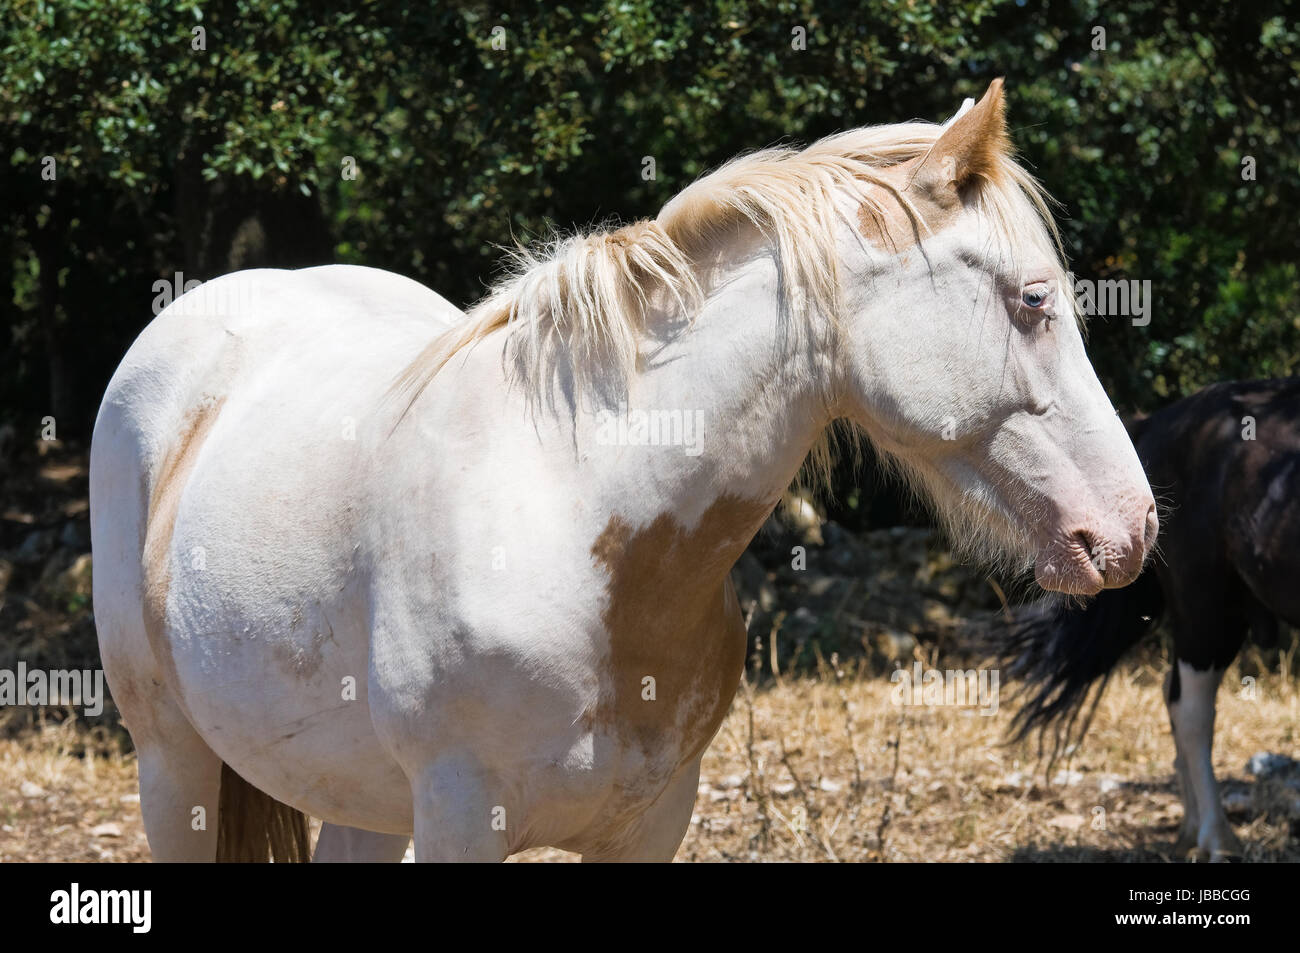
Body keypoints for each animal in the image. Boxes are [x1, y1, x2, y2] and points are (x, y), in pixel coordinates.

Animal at [90, 79, 1157, 862]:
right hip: (171, 764)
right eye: (1033, 300)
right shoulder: (458, 821)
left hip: (354, 795)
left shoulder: (648, 825)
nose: (1131, 528)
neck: (579, 519)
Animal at [989, 377, 1300, 861]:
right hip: (1206, 606)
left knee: (1174, 696)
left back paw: (1190, 828)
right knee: (1192, 710)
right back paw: (1216, 837)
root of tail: (1158, 422)